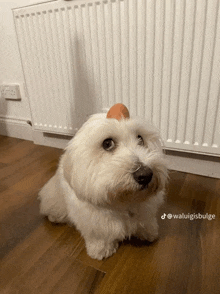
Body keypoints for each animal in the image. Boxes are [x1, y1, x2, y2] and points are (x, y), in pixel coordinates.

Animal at [38, 103, 168, 260]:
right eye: (107, 143)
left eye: (140, 139)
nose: (145, 175)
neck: (125, 200)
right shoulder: (94, 220)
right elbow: (99, 236)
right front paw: (100, 250)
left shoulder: (146, 209)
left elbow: (147, 221)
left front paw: (149, 232)